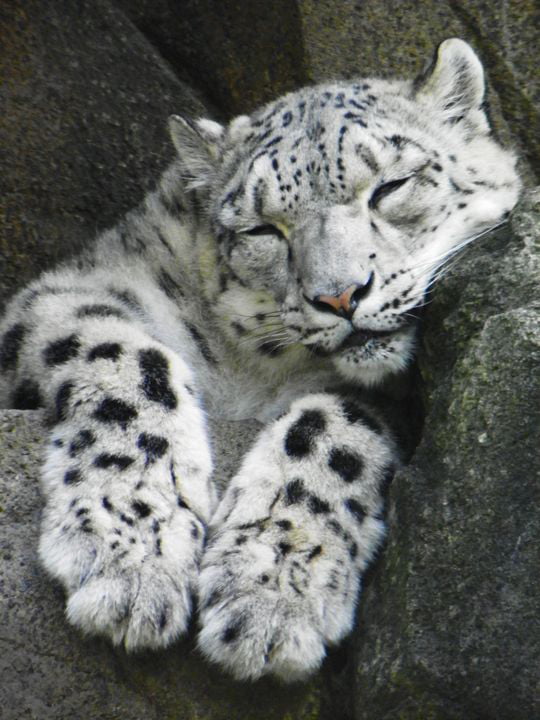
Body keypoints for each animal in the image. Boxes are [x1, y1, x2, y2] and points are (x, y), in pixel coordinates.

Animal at [0, 39, 520, 682]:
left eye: (392, 186)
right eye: (262, 229)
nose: (341, 295)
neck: (251, 369)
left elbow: (332, 432)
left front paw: (268, 597)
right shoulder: (73, 290)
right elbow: (123, 356)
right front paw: (134, 549)